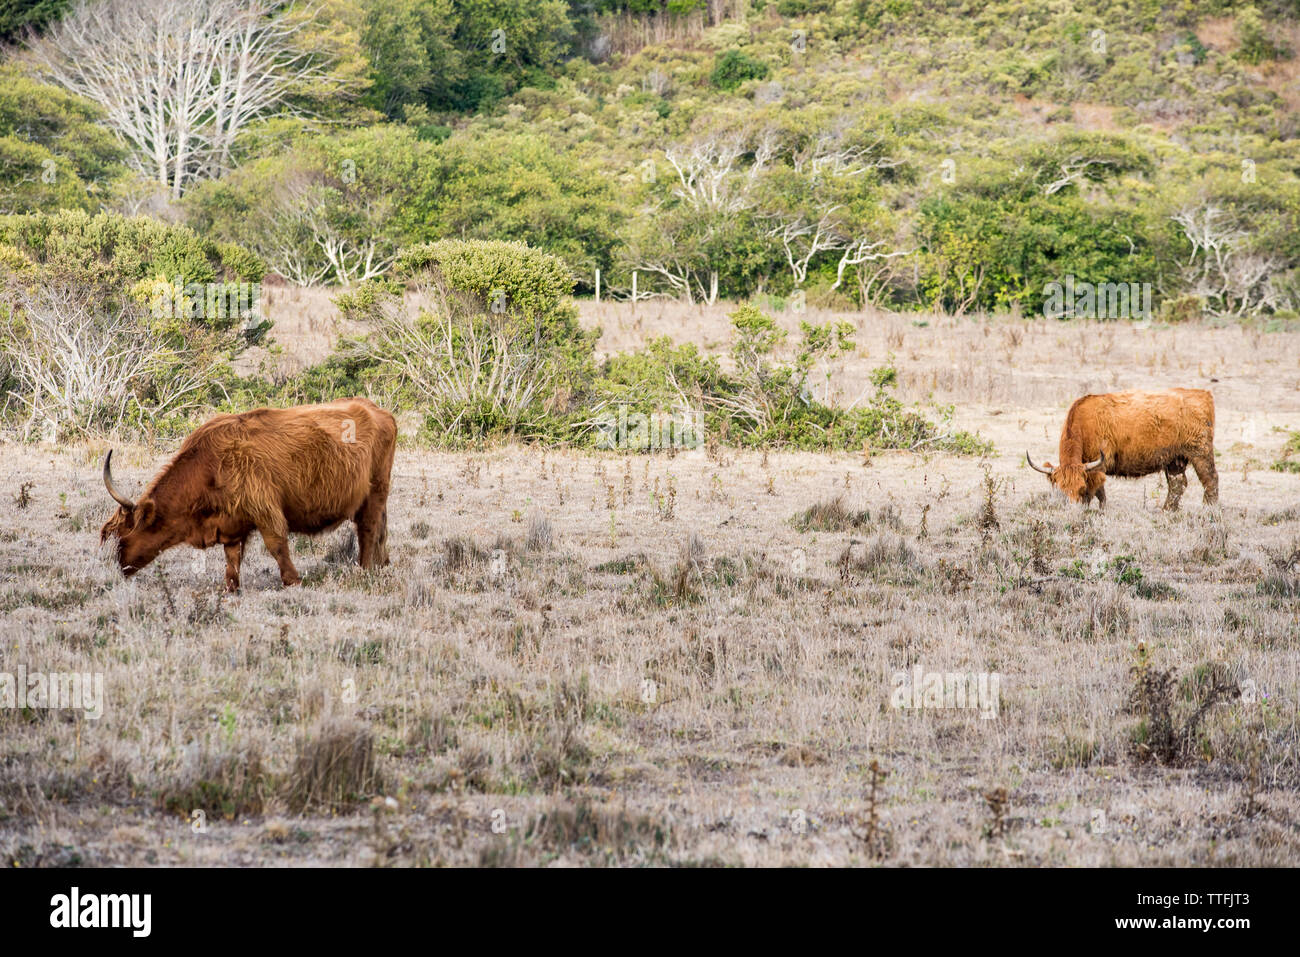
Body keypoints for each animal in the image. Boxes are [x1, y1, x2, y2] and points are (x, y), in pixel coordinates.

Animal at [100, 397, 397, 591]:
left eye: (121, 534)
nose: (119, 566)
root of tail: (378, 410)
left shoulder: (265, 511)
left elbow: (277, 546)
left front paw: (293, 581)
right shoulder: (232, 524)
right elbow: (232, 560)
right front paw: (232, 588)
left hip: (375, 493)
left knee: (368, 530)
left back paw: (364, 570)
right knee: (381, 530)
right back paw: (383, 565)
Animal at [1026, 388, 1218, 510]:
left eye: (1080, 488)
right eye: (1061, 490)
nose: (1072, 508)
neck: (1085, 422)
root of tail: (1203, 394)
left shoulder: (1099, 466)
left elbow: (1098, 492)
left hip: (1200, 453)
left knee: (1210, 480)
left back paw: (1208, 510)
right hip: (1174, 460)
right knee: (1177, 484)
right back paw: (1167, 511)